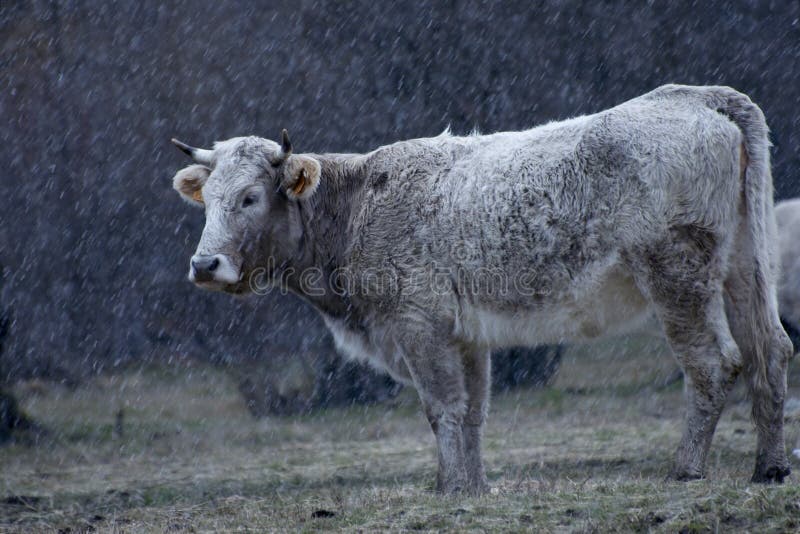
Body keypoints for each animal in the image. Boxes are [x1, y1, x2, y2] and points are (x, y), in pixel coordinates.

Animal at [170, 85, 793, 494]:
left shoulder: (418, 325)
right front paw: (471, 485)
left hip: (678, 278)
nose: (205, 263)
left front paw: (450, 488)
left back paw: (686, 467)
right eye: (208, 199)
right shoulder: (466, 336)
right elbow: (472, 411)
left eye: (251, 196)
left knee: (713, 364)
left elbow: (442, 406)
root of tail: (695, 97)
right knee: (770, 352)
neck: (358, 205)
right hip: (747, 267)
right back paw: (770, 467)